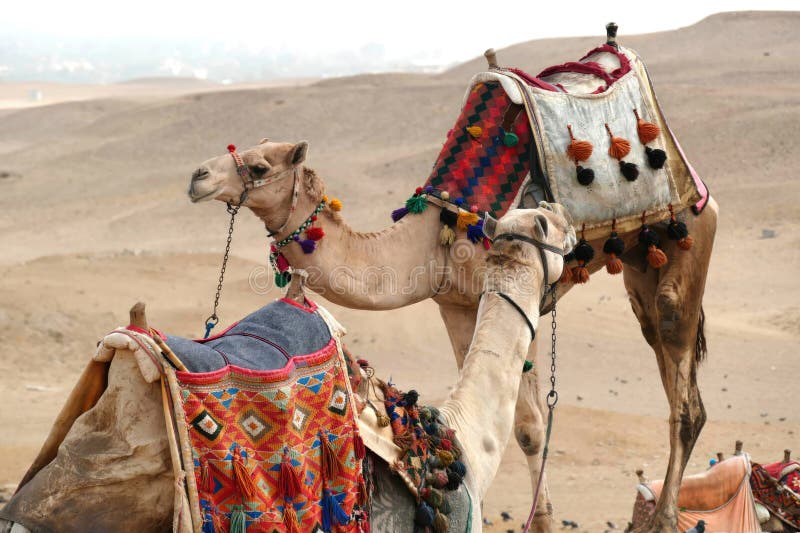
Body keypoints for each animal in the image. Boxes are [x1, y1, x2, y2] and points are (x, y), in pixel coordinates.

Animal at [188, 124, 717, 531]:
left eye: (260, 167)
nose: (197, 177)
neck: (425, 246)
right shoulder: (456, 305)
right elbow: (502, 419)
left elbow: (528, 427)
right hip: (641, 265)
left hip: (686, 239)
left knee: (684, 387)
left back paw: (664, 519)